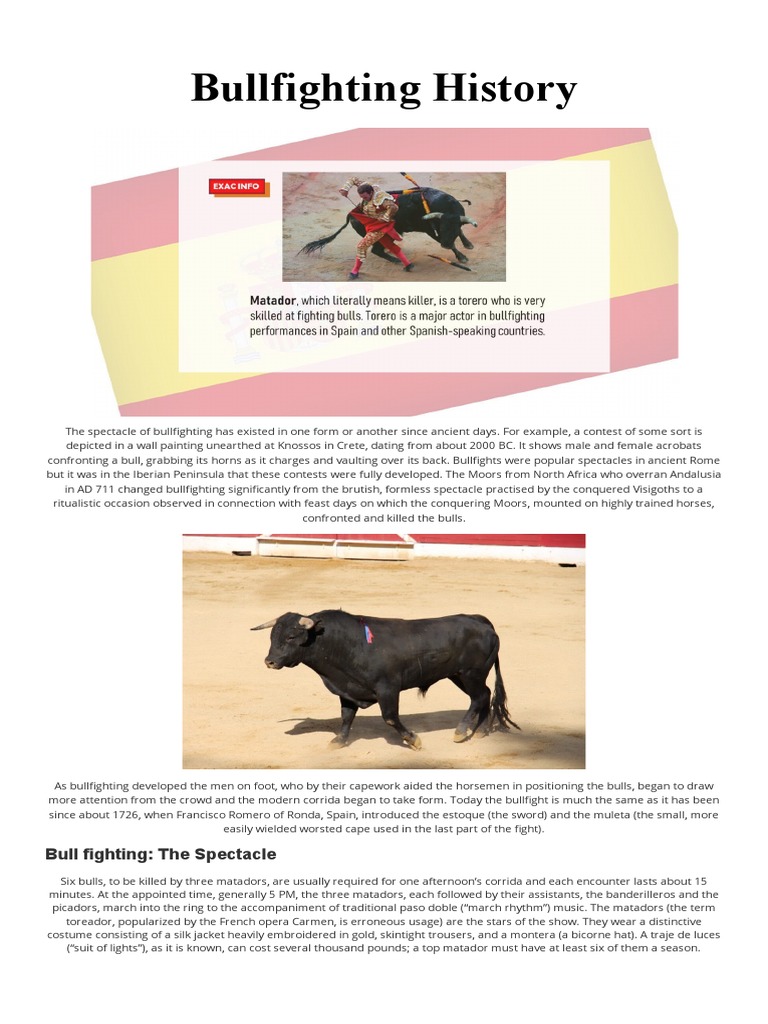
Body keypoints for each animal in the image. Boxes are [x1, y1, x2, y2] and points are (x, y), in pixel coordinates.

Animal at [251, 610, 519, 749]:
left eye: (291, 636)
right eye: (273, 636)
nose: (269, 661)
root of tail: (480, 620)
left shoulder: (388, 688)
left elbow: (390, 717)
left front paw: (413, 740)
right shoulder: (348, 689)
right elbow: (346, 716)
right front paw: (339, 741)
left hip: (471, 674)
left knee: (479, 697)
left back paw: (461, 731)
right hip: (460, 676)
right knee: (484, 695)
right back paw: (480, 730)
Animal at [299, 188, 478, 265]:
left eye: (452, 228)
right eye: (441, 227)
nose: (445, 245)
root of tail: (352, 213)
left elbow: (461, 232)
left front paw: (467, 244)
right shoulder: (430, 229)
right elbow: (444, 240)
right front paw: (461, 256)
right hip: (379, 235)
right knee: (376, 250)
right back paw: (396, 259)